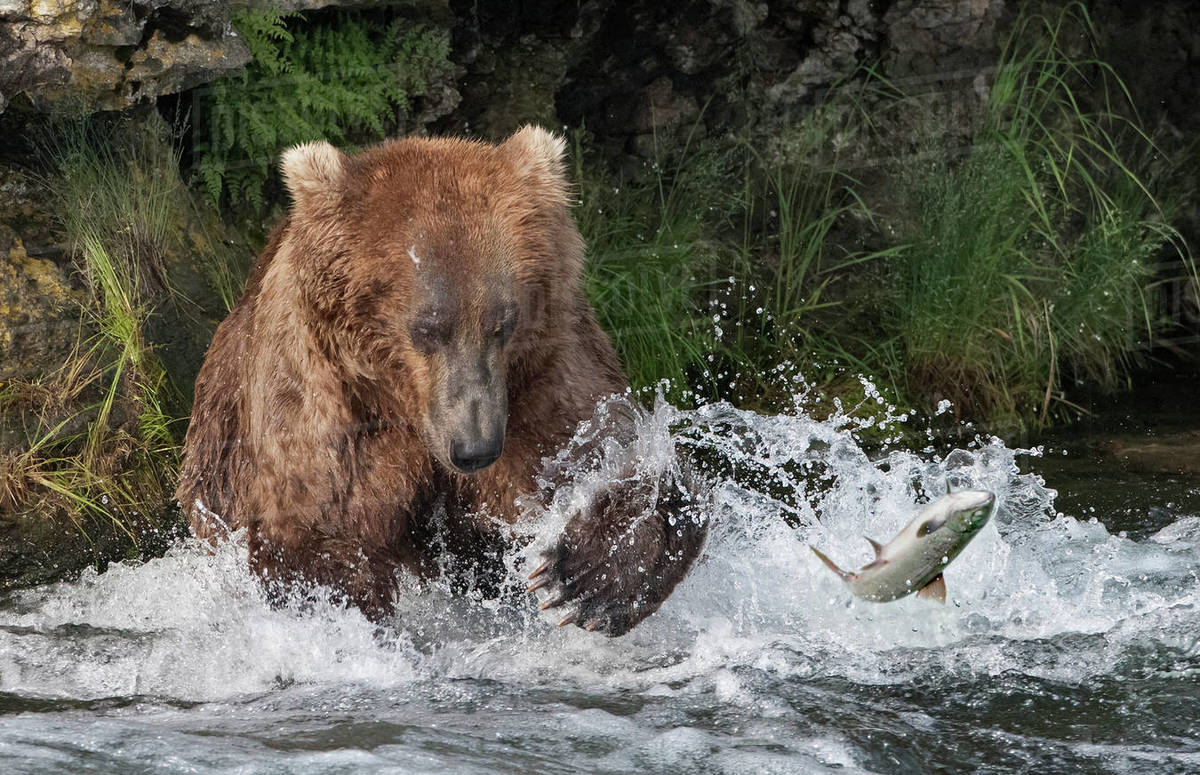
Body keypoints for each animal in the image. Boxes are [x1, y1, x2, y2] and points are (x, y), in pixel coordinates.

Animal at [176, 126, 707, 636]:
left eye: (503, 322)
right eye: (426, 328)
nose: (474, 448)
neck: (405, 406)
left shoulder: (542, 378)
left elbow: (608, 453)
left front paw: (580, 578)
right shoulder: (324, 411)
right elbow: (311, 532)